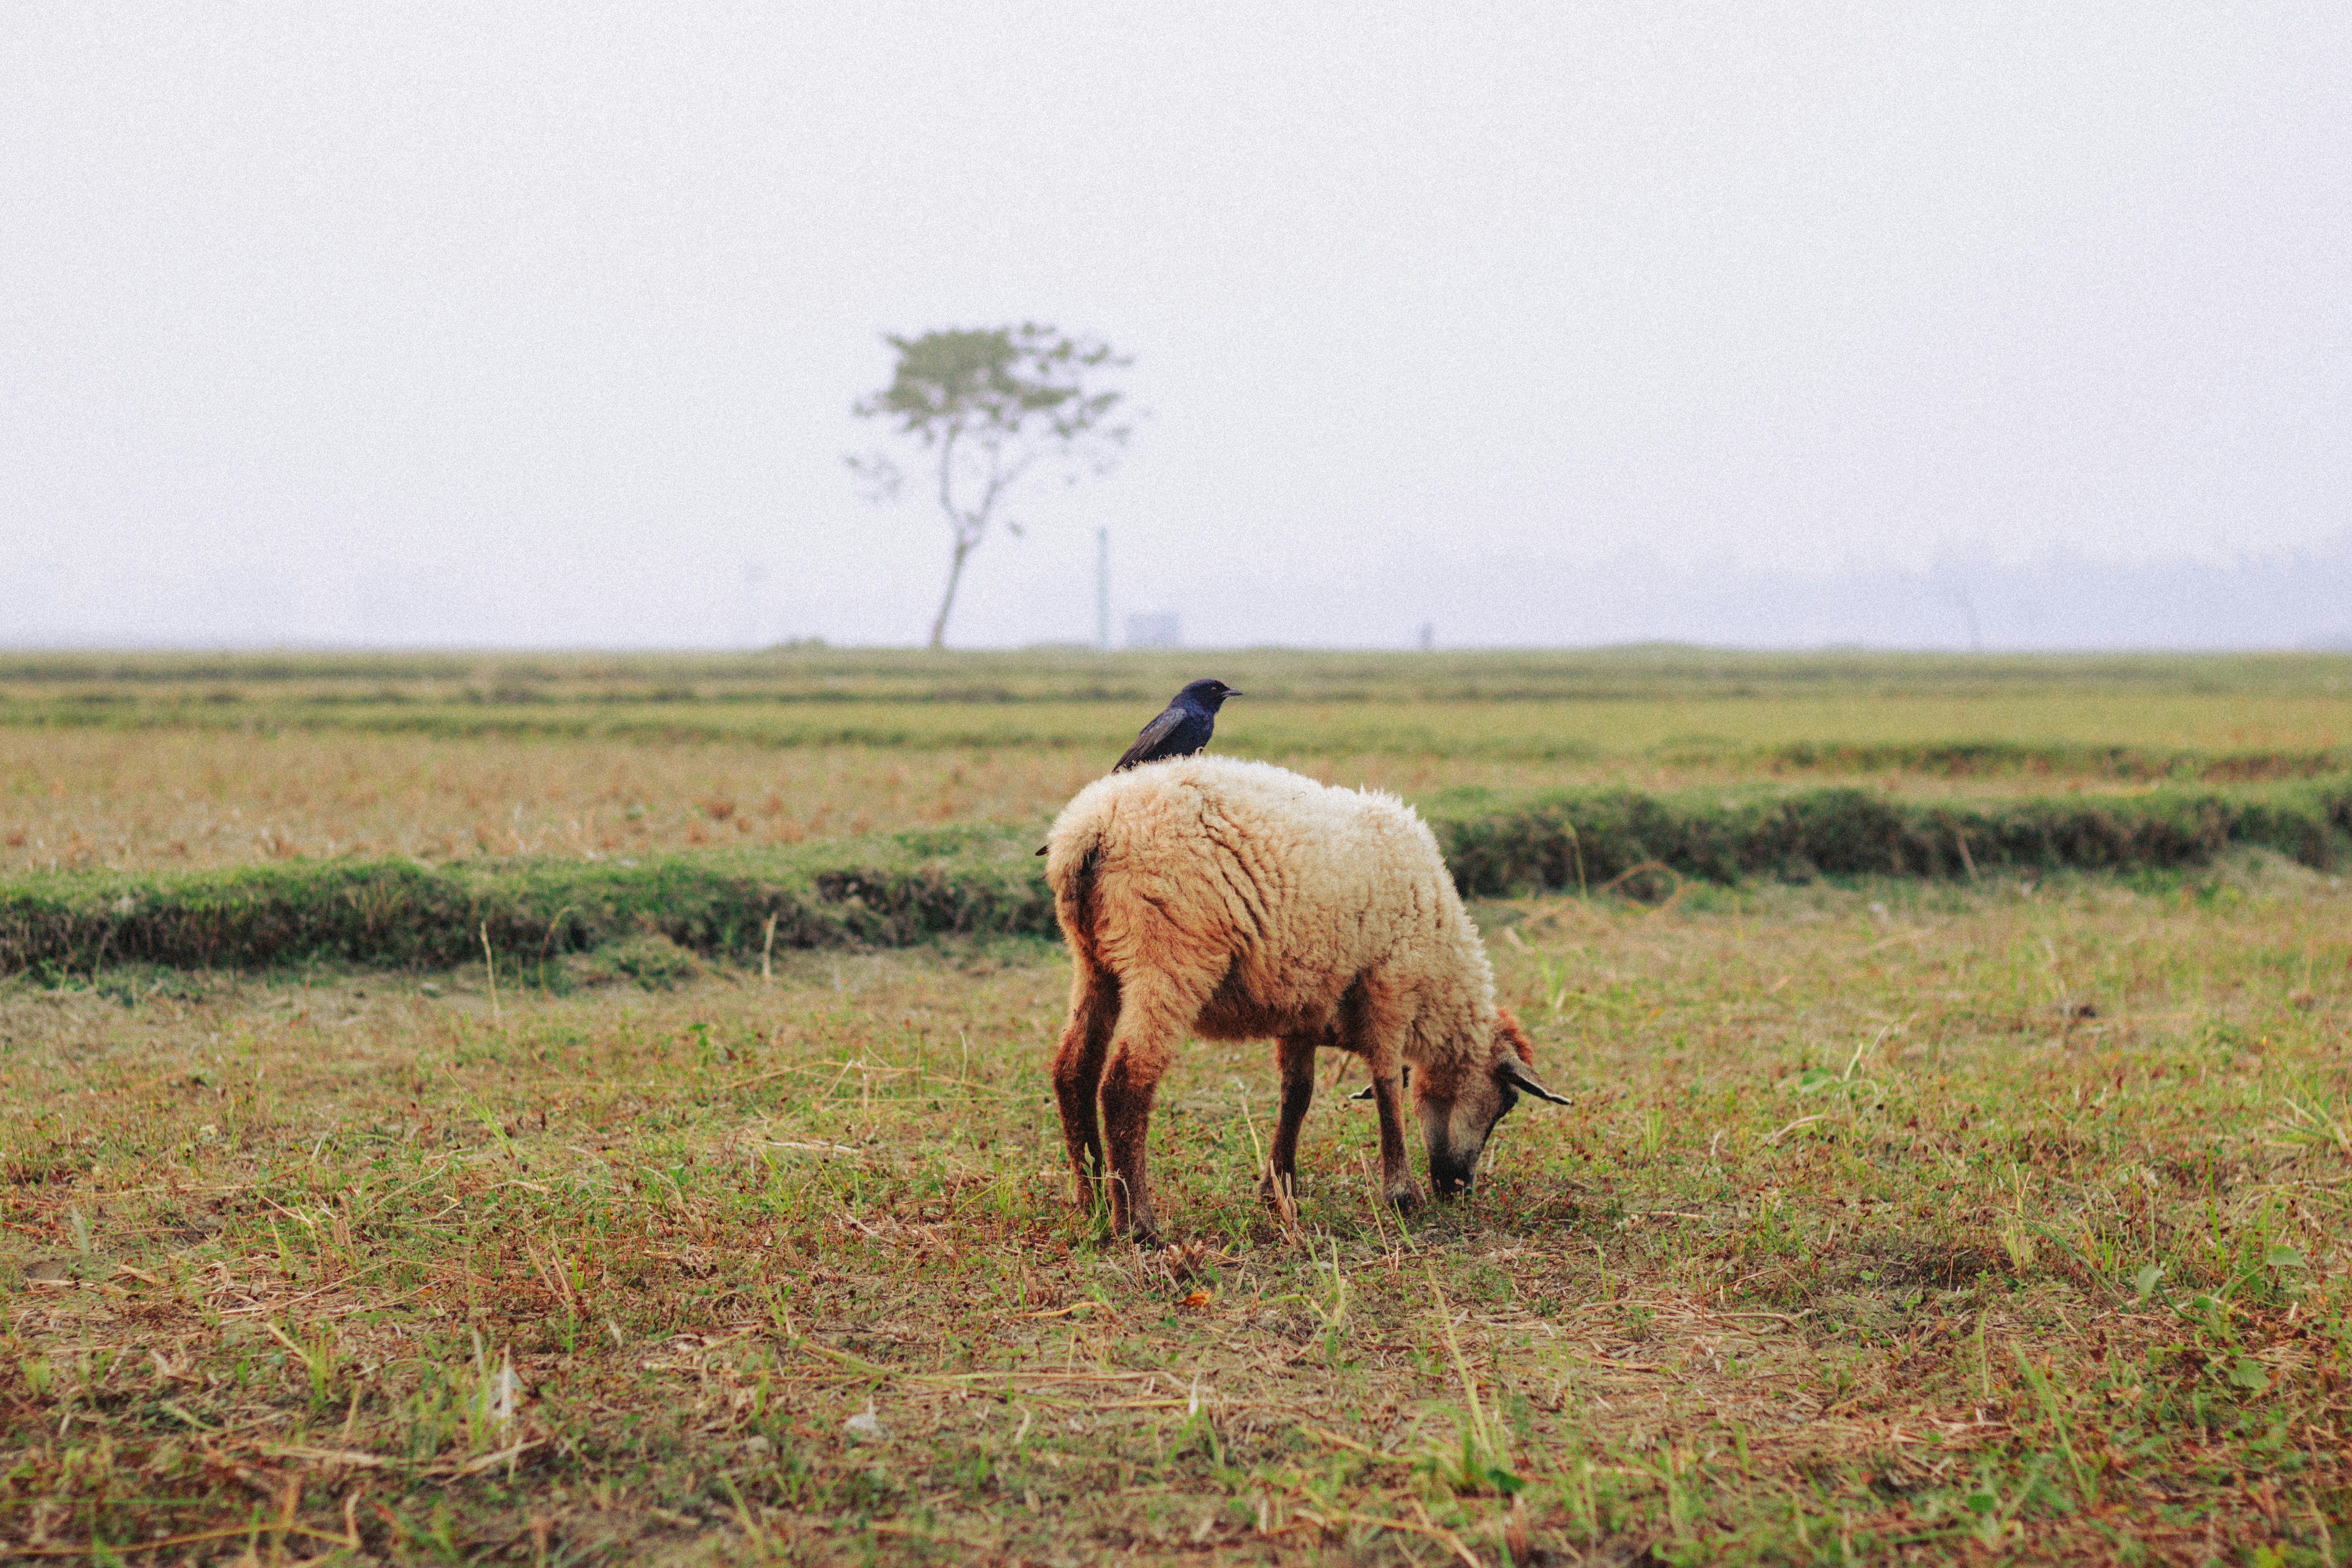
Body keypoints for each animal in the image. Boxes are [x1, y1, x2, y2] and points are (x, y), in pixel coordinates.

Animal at [1041, 755, 1570, 1241]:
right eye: (1505, 1102)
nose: (1458, 1187)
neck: (1439, 983)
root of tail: (1093, 826)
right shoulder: (1389, 983)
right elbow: (1386, 1084)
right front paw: (1401, 1193)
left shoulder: (1302, 1004)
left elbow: (1297, 1093)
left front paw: (1278, 1186)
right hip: (1168, 958)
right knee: (1126, 1084)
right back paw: (1137, 1223)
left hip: (1094, 961)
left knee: (1073, 1070)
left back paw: (1091, 1201)